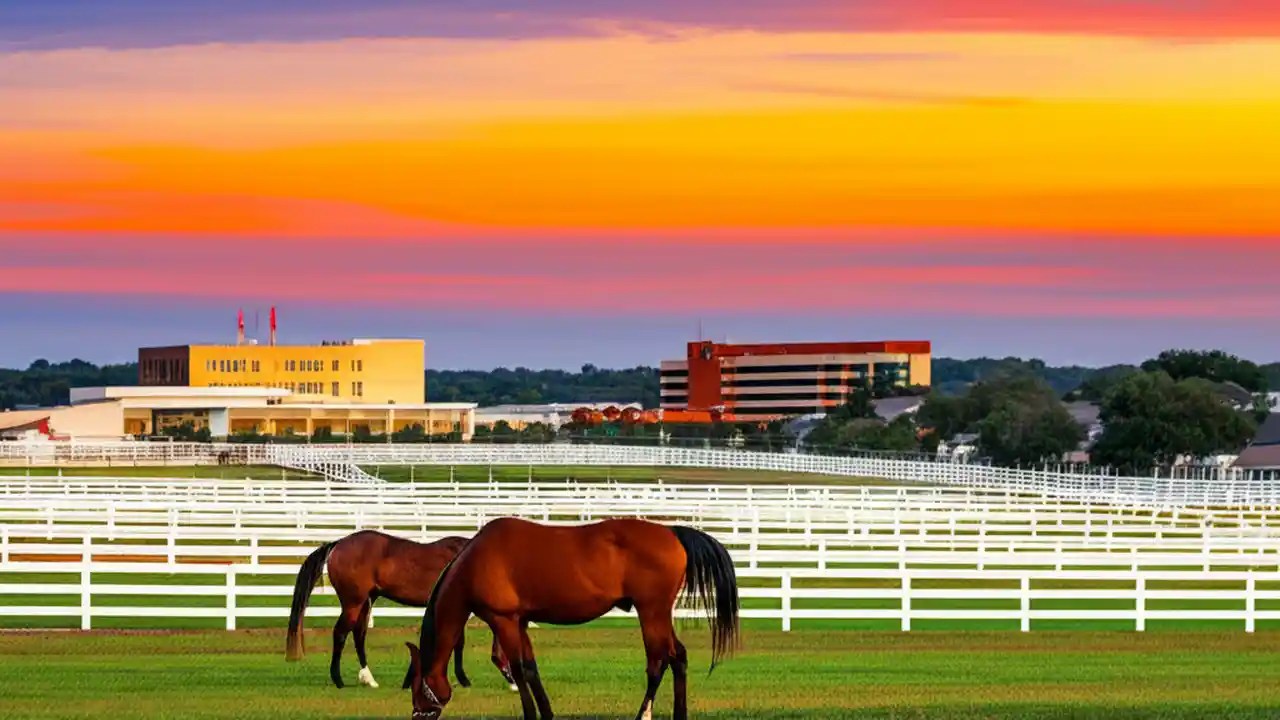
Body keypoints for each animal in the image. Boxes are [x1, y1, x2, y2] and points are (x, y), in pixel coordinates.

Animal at [285, 530, 514, 691]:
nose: (513, 680)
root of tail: (339, 544)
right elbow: (458, 642)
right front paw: (463, 679)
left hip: (366, 601)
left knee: (359, 635)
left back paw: (368, 679)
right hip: (353, 602)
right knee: (341, 633)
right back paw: (339, 680)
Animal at [404, 517, 740, 720]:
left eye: (418, 688)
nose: (418, 714)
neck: (476, 560)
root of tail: (672, 532)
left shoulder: (504, 620)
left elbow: (518, 669)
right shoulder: (521, 621)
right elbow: (530, 669)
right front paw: (547, 713)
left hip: (651, 612)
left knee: (658, 662)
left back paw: (642, 714)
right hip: (658, 614)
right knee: (678, 656)